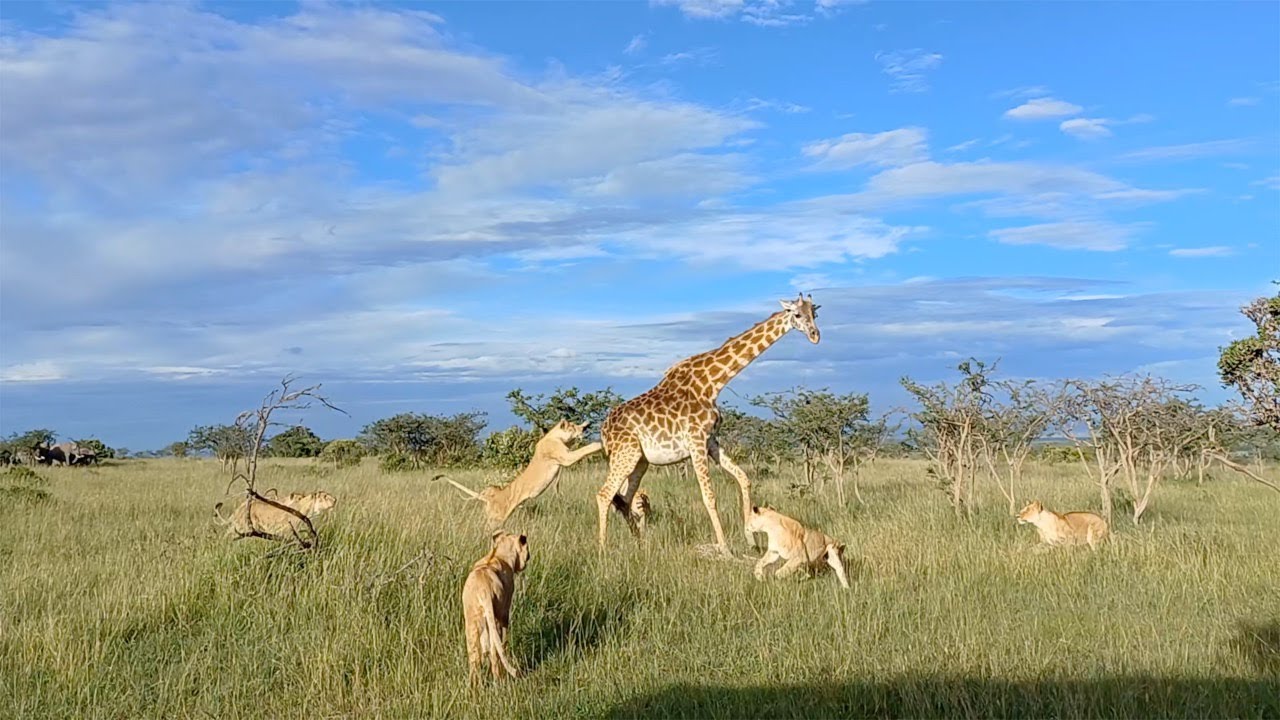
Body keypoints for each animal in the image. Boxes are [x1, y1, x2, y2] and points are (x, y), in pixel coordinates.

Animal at [446, 420, 603, 528]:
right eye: (573, 426)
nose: (585, 426)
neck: (554, 436)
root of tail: (492, 495)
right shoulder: (566, 458)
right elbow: (586, 449)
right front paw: (600, 444)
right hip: (496, 519)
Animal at [462, 531, 529, 684]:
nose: (528, 557)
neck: (498, 555)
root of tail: (483, 589)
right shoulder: (504, 613)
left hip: (472, 621)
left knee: (474, 658)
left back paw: (474, 685)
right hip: (496, 617)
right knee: (495, 652)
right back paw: (499, 681)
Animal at [596, 294, 821, 554]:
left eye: (815, 314)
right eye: (797, 314)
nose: (815, 335)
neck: (712, 383)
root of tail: (604, 430)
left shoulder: (711, 441)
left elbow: (744, 478)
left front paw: (751, 538)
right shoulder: (695, 442)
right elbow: (709, 496)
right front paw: (724, 548)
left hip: (639, 460)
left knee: (624, 499)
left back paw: (640, 544)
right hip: (626, 454)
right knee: (605, 494)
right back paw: (602, 548)